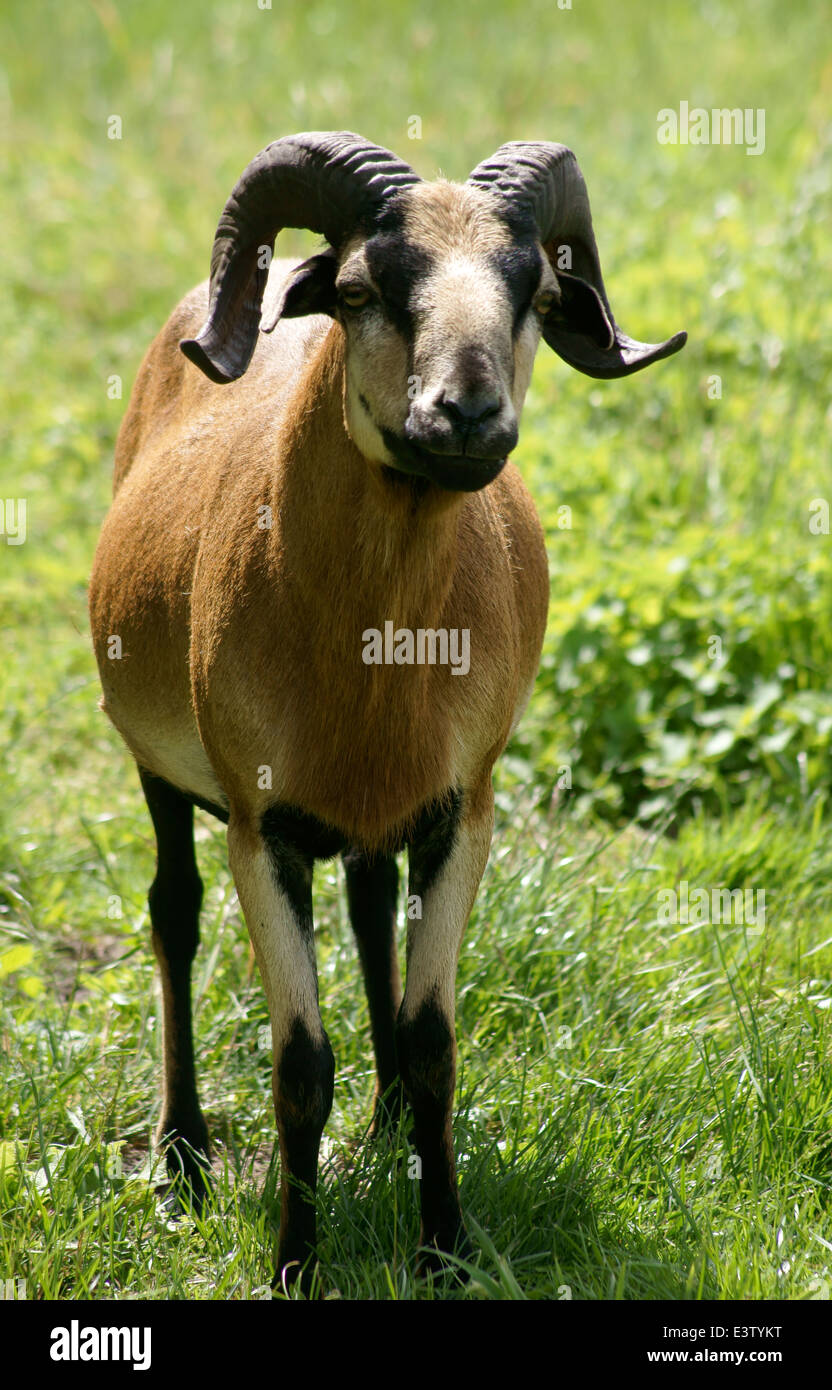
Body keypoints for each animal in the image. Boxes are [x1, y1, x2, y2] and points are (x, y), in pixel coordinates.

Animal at [88, 131, 685, 1291]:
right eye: (362, 291)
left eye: (539, 294)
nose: (467, 415)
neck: (377, 657)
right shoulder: (260, 829)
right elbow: (299, 1066)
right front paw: (294, 1263)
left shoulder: (463, 810)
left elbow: (430, 1039)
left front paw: (443, 1249)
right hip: (160, 767)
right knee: (173, 912)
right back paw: (182, 1152)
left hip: (377, 819)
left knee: (369, 912)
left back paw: (387, 1125)